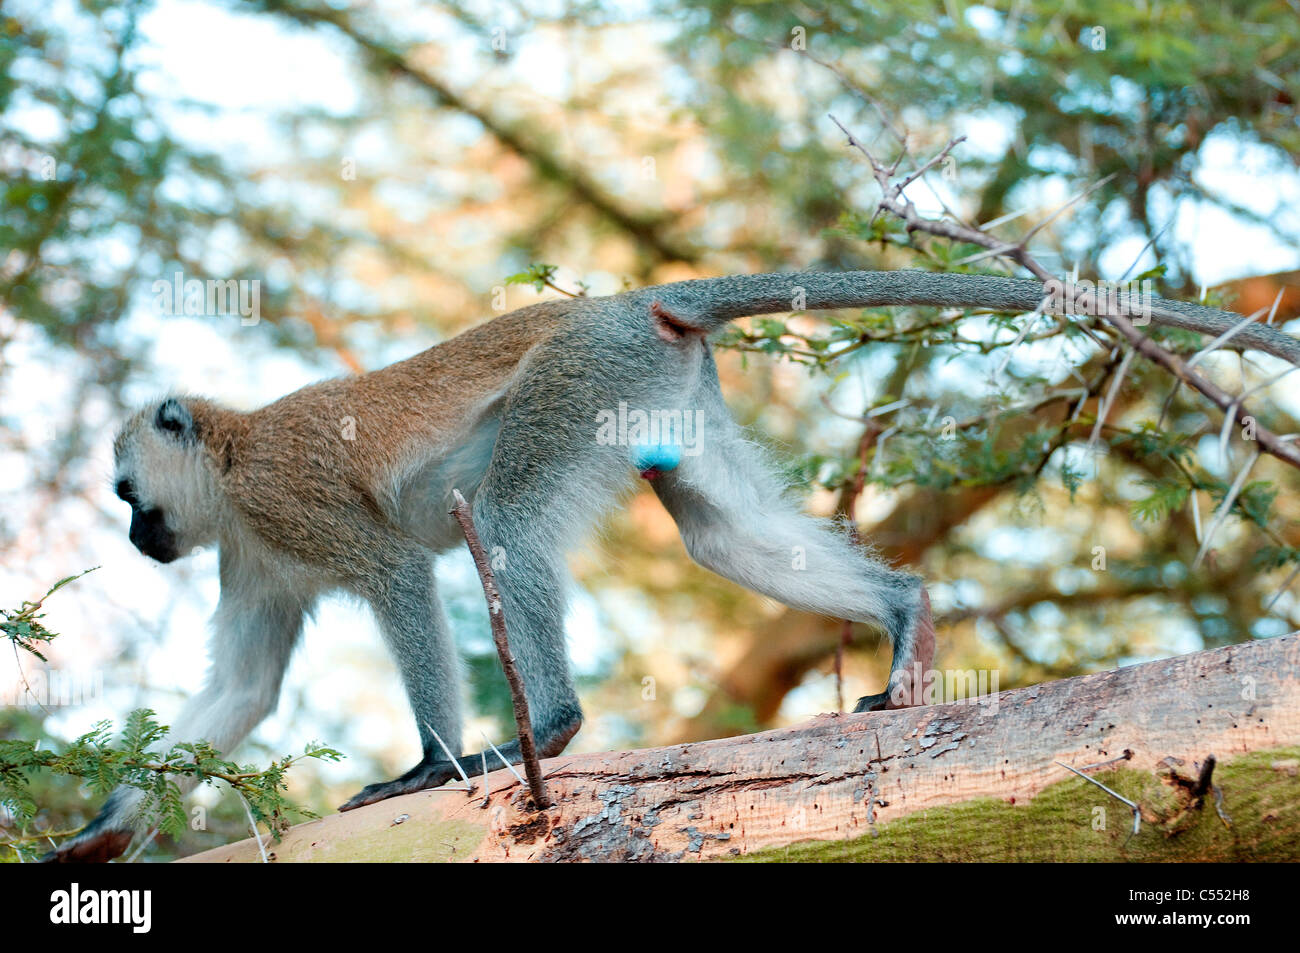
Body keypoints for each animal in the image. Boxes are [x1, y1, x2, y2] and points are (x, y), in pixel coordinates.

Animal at [45, 269, 1300, 861]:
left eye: (124, 495)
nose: (137, 538)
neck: (229, 455)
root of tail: (627, 301)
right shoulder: (252, 559)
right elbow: (244, 688)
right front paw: (99, 830)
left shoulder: (288, 506)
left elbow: (400, 575)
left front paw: (425, 770)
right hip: (658, 388)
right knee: (712, 527)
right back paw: (904, 616)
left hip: (576, 379)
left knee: (505, 517)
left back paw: (545, 730)